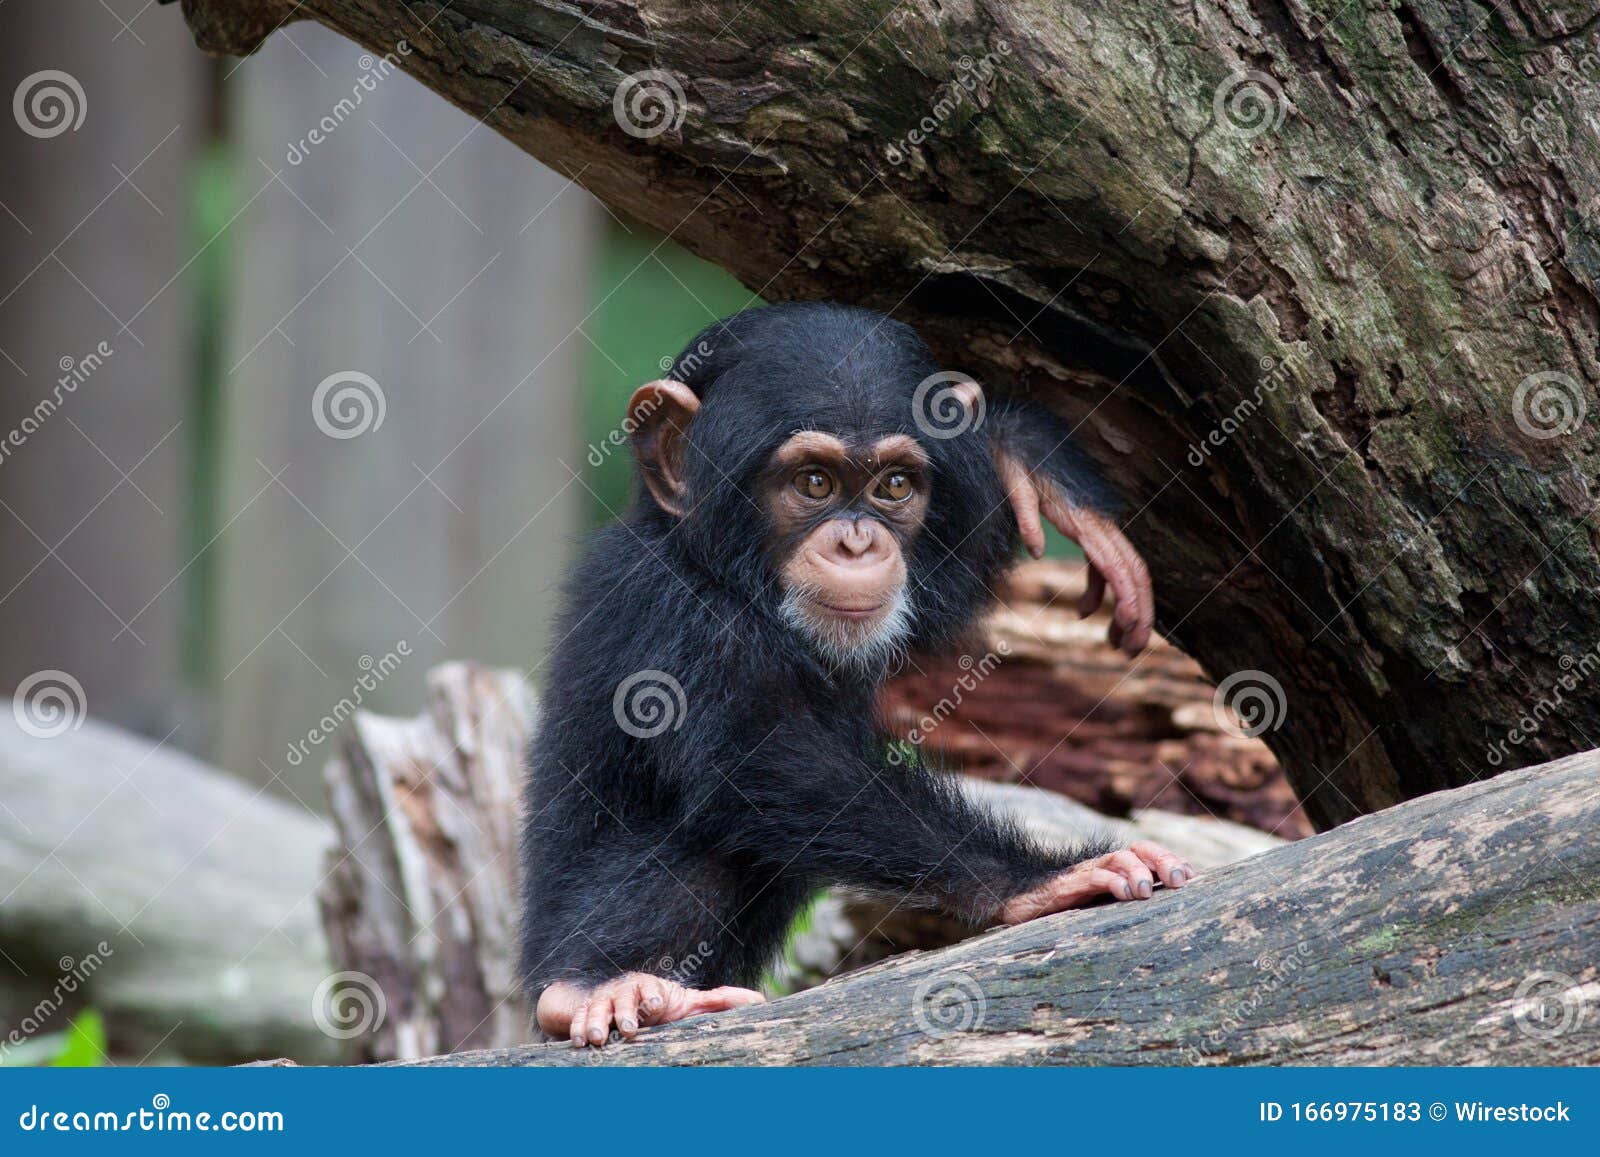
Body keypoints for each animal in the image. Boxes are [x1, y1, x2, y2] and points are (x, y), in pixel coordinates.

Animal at [519, 302, 1191, 1047]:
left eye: (893, 485)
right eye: (814, 482)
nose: (857, 542)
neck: (734, 581)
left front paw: (1027, 460)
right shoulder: (667, 610)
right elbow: (762, 756)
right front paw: (1040, 880)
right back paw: (599, 986)